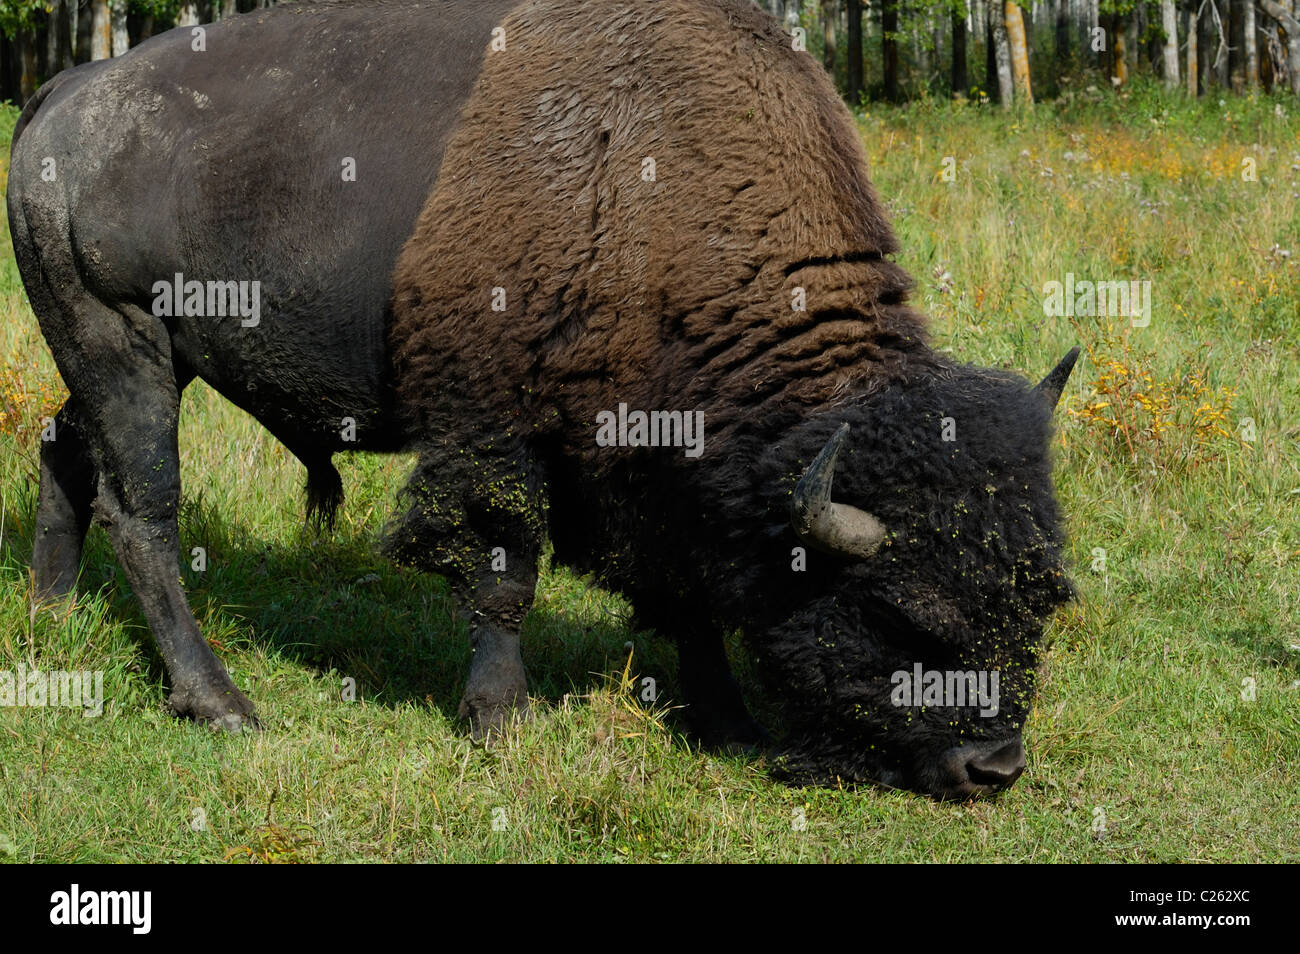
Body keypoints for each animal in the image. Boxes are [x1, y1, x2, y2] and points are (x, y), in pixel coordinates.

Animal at [7, 0, 1077, 799]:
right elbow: (503, 566)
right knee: (143, 509)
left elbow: (688, 589)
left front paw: (725, 721)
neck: (653, 188)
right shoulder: (495, 426)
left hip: (134, 357)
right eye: (903, 613)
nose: (994, 768)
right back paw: (221, 703)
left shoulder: (658, 464)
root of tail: (67, 94)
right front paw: (499, 719)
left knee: (65, 449)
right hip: (123, 342)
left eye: (1045, 601)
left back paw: (52, 613)